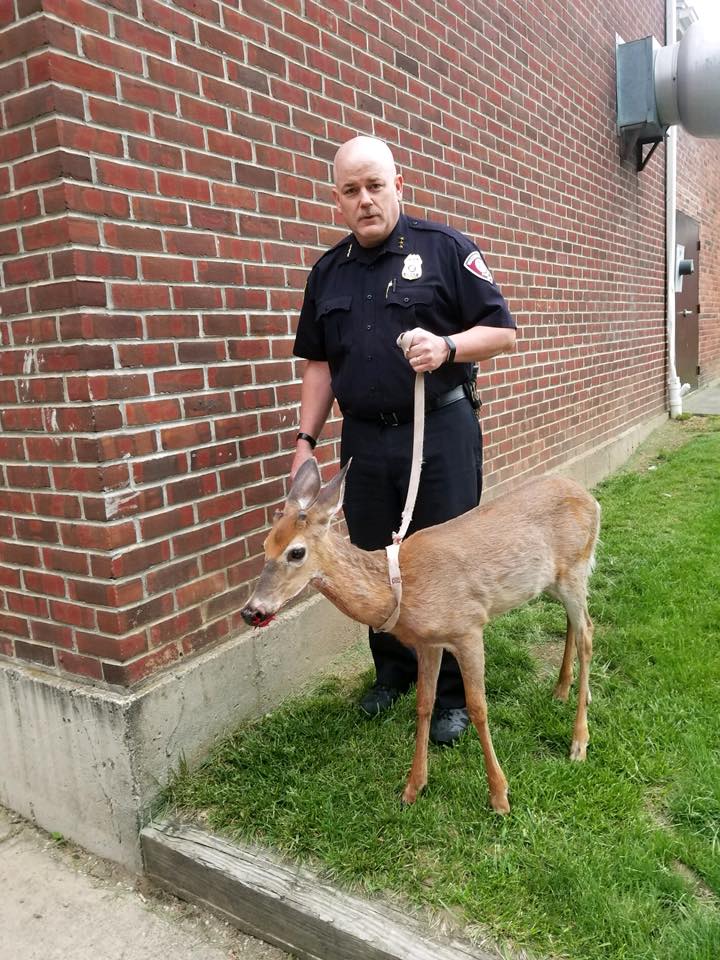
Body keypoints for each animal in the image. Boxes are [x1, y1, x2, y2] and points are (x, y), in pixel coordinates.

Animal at [241, 458, 601, 814]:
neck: (401, 586)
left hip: (574, 567)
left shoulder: (469, 627)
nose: (251, 611)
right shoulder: (429, 643)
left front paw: (500, 796)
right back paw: (562, 690)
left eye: (296, 552)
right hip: (555, 580)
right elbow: (423, 704)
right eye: (265, 545)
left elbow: (478, 707)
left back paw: (579, 742)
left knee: (588, 634)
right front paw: (413, 787)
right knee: (575, 623)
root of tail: (593, 501)